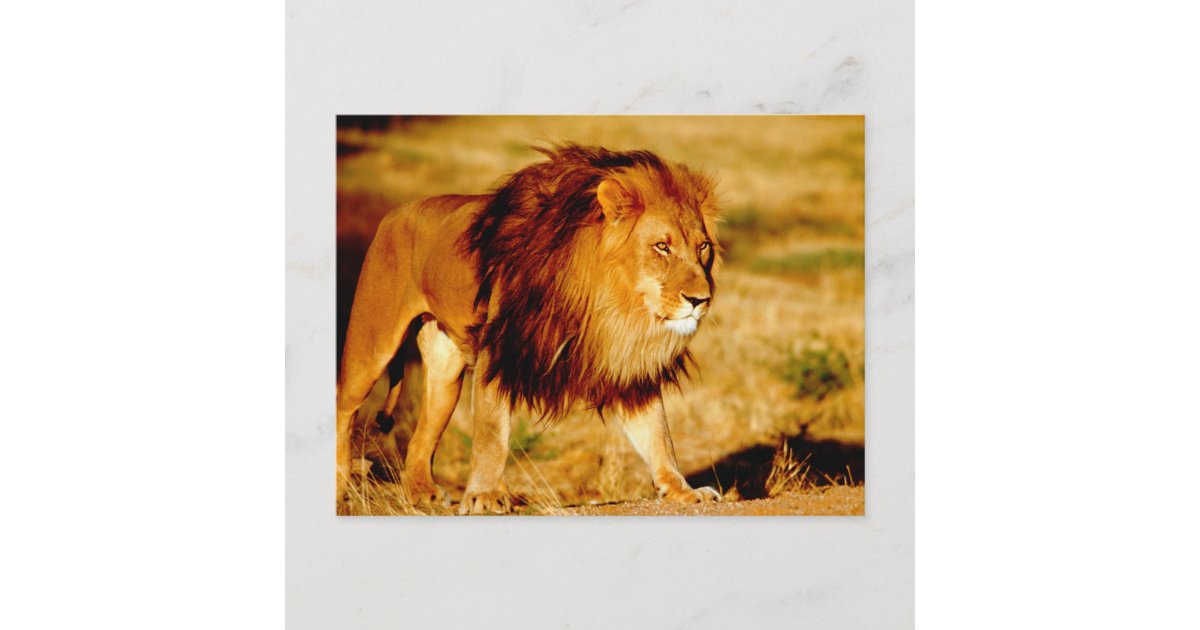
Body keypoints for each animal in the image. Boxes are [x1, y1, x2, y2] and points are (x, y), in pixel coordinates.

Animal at [336, 144, 722, 514]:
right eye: (662, 246)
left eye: (703, 246)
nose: (701, 300)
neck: (613, 304)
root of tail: (398, 210)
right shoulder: (499, 351)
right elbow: (492, 433)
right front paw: (486, 495)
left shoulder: (627, 366)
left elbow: (658, 434)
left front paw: (682, 490)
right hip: (371, 346)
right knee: (344, 406)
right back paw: (342, 489)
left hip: (445, 376)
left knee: (420, 438)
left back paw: (421, 494)